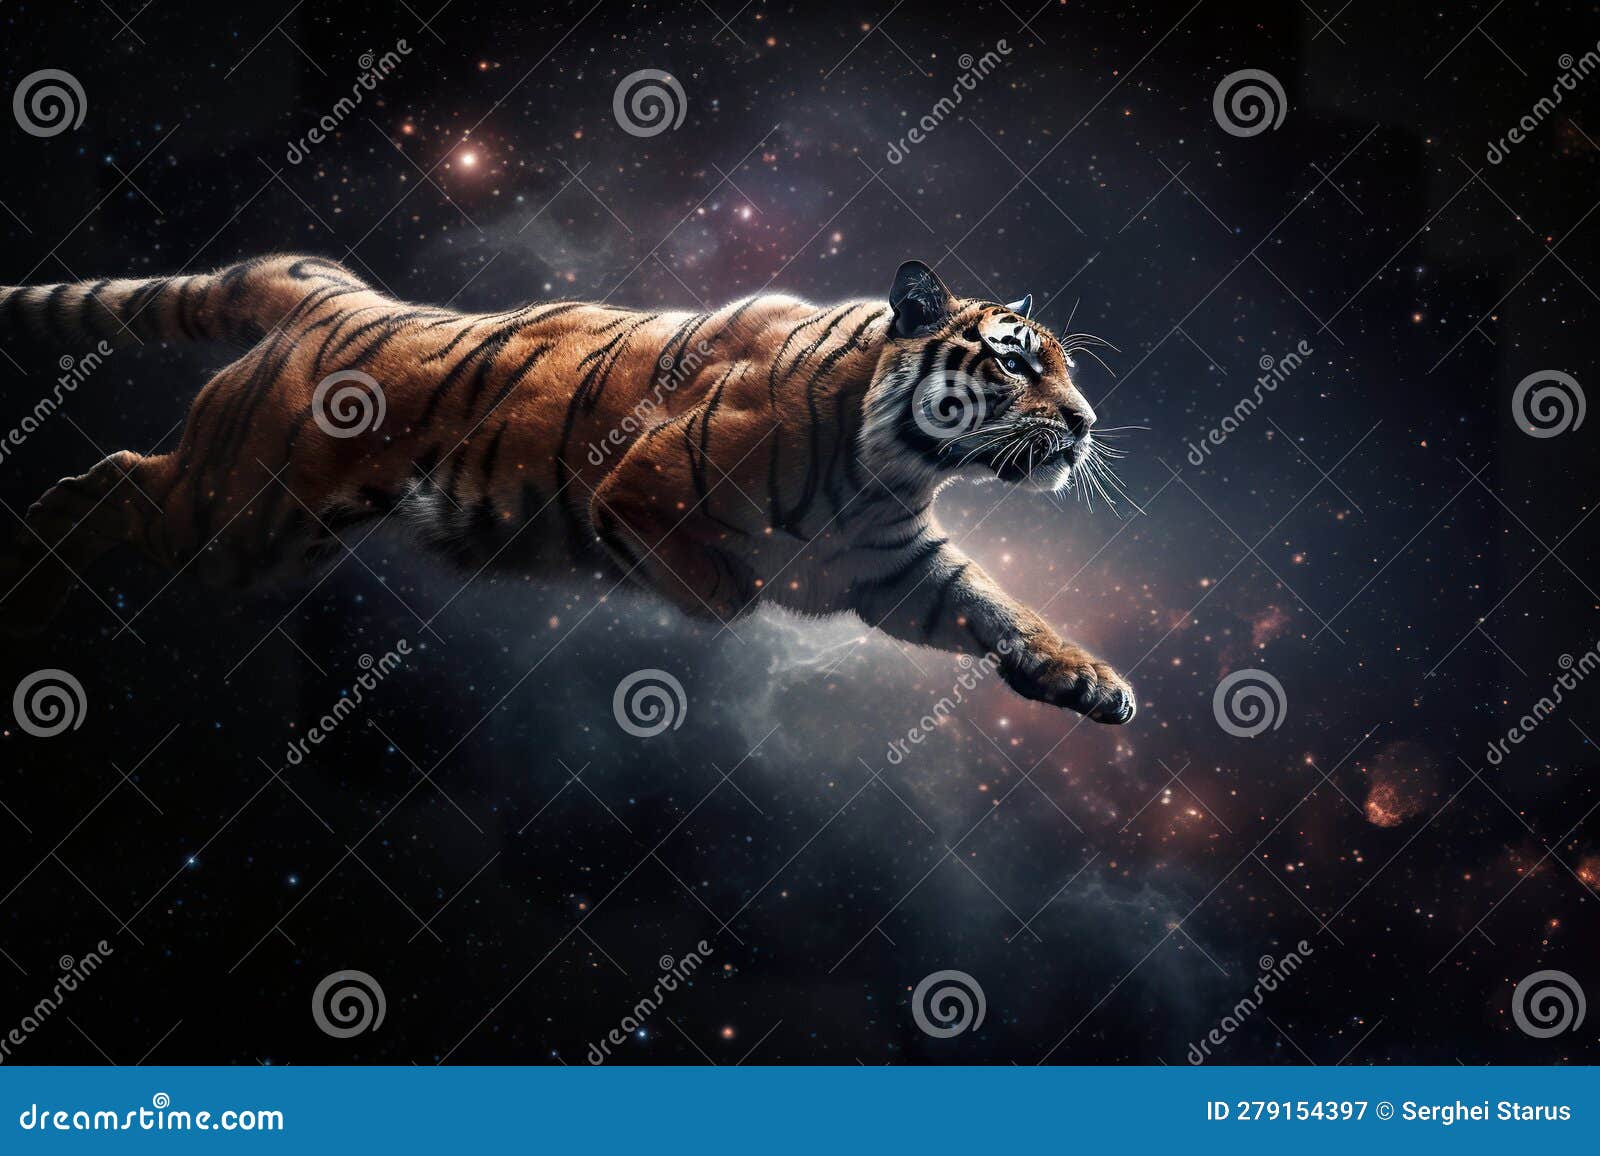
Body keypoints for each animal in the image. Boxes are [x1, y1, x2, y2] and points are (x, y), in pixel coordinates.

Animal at [0, 255, 1135, 723]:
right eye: (1013, 362)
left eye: (1067, 365)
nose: (1085, 425)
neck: (894, 468)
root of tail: (333, 293)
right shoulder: (631, 483)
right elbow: (726, 592)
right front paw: (746, 594)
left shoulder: (905, 567)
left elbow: (1003, 610)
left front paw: (1089, 682)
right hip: (241, 522)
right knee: (108, 479)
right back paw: (34, 581)